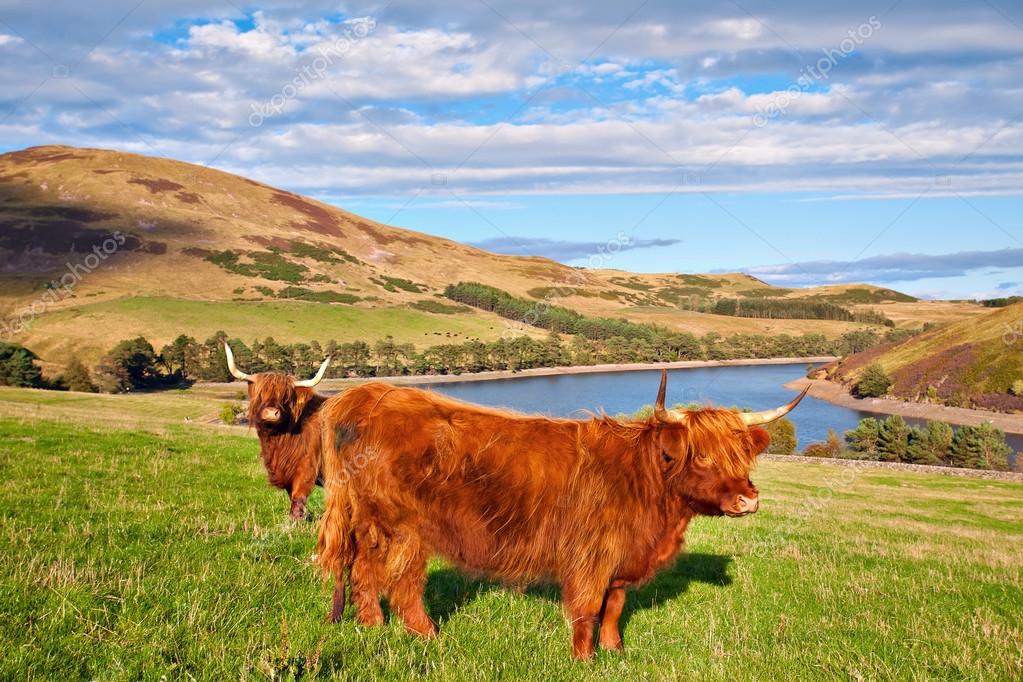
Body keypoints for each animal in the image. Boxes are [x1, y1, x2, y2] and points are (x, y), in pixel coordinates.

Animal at [223, 341, 332, 520]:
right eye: (260, 394)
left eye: (285, 397)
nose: (271, 413)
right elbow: (291, 495)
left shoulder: (307, 467)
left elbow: (298, 496)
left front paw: (294, 521)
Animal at [315, 370, 807, 659]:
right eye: (702, 456)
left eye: (742, 455)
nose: (749, 501)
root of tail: (368, 396)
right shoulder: (591, 556)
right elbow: (587, 608)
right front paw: (584, 658)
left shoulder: (621, 558)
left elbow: (615, 607)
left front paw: (614, 651)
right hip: (404, 527)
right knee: (401, 580)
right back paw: (427, 634)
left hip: (370, 523)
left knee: (364, 570)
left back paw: (372, 626)